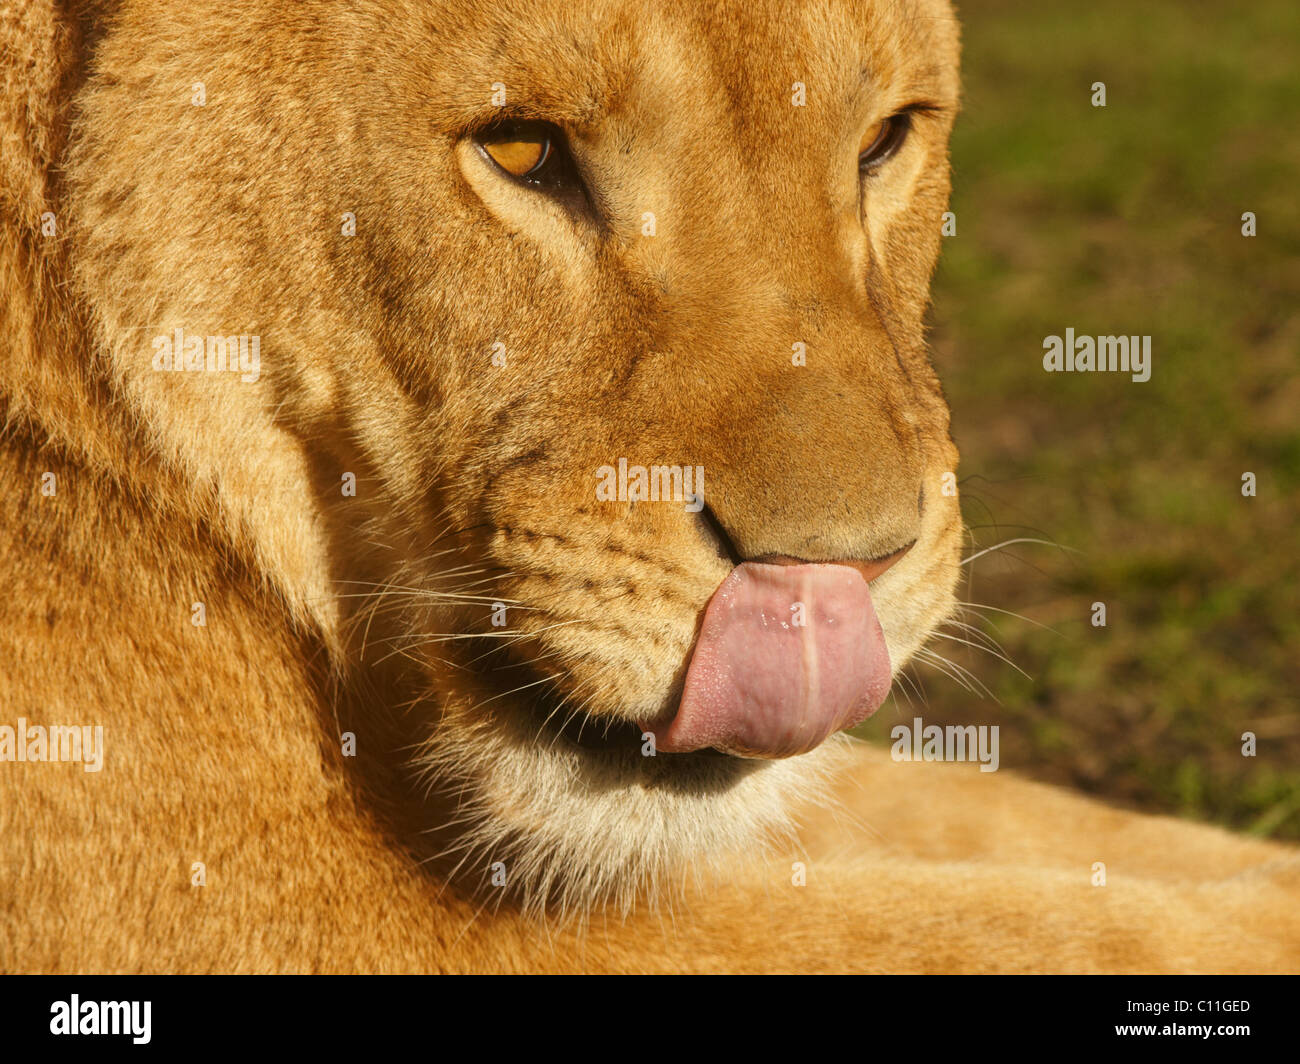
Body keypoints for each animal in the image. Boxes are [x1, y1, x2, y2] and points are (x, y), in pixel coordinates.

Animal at [1, 0, 1296, 975]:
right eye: (520, 149)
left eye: (885, 138)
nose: (830, 579)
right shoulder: (296, 914)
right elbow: (1019, 931)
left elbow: (1004, 820)